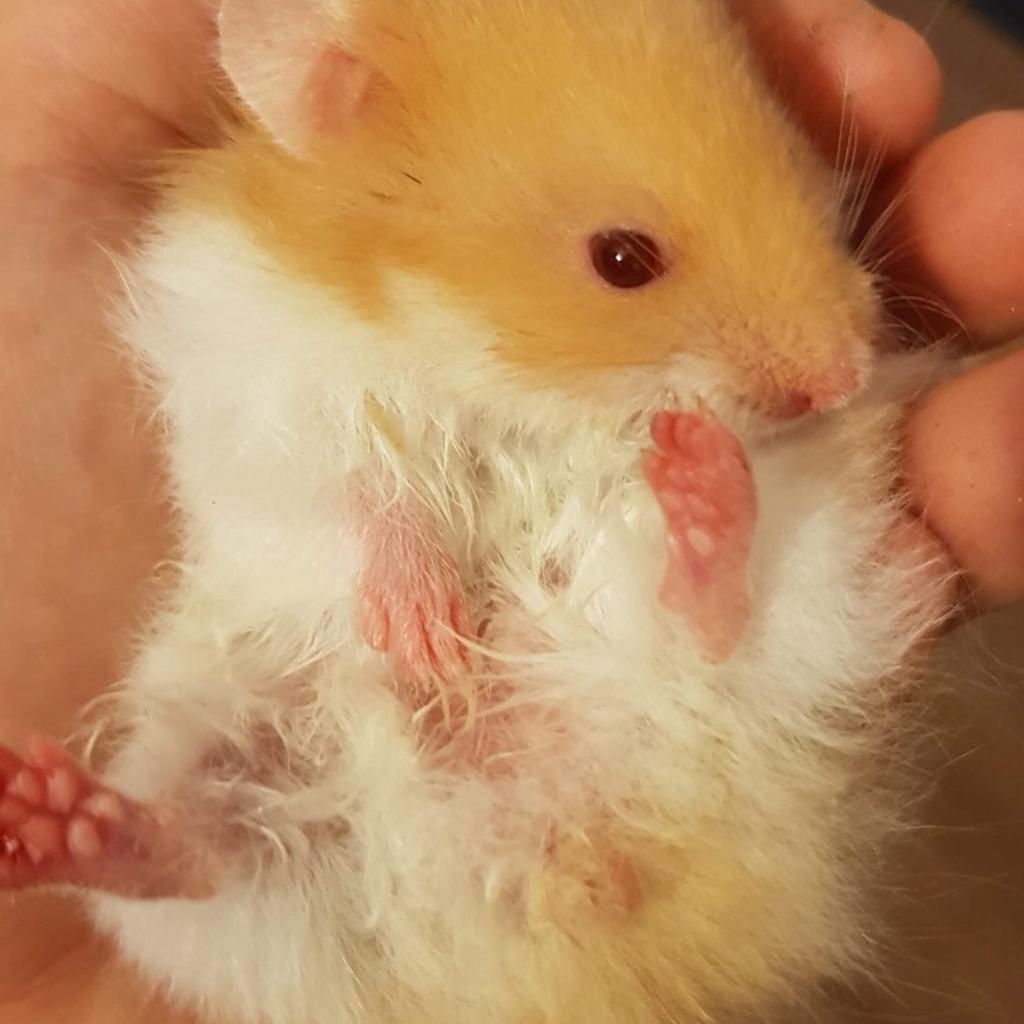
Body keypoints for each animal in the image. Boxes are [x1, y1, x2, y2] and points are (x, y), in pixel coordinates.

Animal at [0, 1, 953, 1022]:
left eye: (795, 160)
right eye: (623, 259)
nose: (847, 376)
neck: (489, 362)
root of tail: (545, 871)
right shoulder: (257, 380)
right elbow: (362, 497)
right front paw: (431, 643)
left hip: (812, 591)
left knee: (713, 631)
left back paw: (700, 493)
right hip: (217, 762)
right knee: (191, 858)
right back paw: (52, 823)